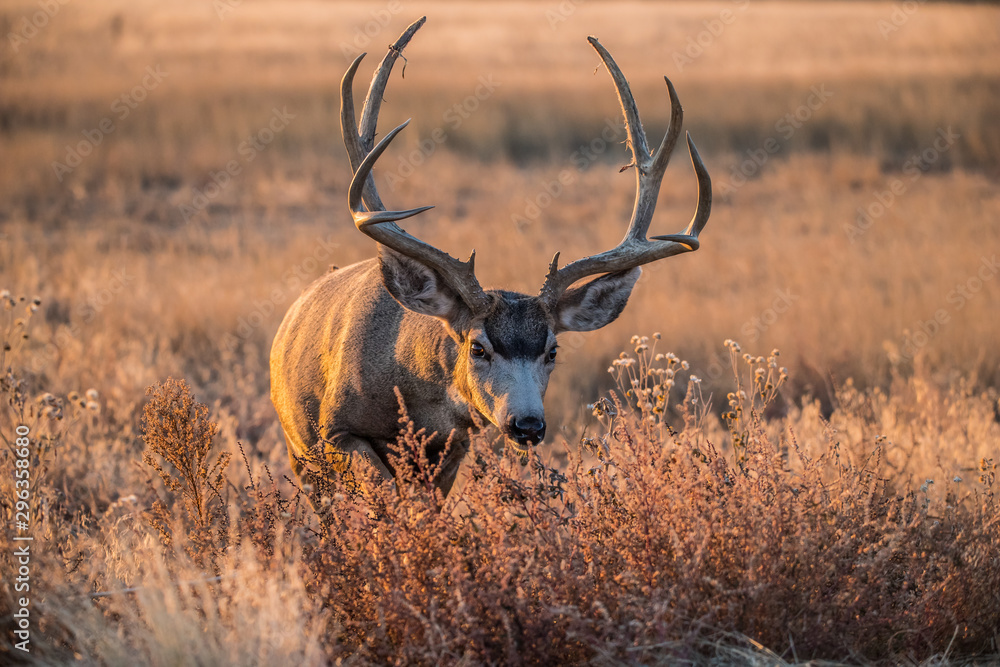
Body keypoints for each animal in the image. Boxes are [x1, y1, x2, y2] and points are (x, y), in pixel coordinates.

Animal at [269, 17, 712, 507]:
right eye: (478, 347)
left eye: (552, 350)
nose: (528, 425)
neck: (417, 398)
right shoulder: (337, 432)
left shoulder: (452, 450)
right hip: (298, 451)